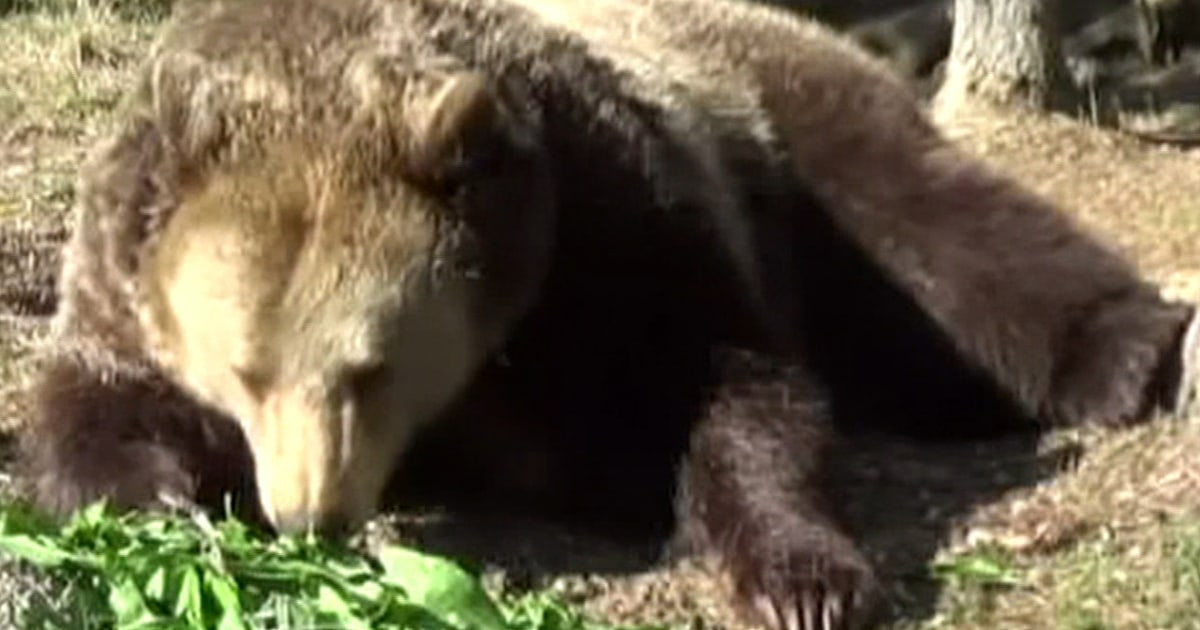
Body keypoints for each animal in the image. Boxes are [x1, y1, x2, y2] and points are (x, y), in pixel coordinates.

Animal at [16, 0, 1200, 629]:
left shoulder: (607, 229)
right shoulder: (122, 272)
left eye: (369, 368)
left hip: (795, 135)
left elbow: (727, 390)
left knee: (947, 247)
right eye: (246, 371)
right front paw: (169, 506)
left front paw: (805, 577)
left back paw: (1137, 354)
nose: (313, 515)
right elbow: (90, 409)